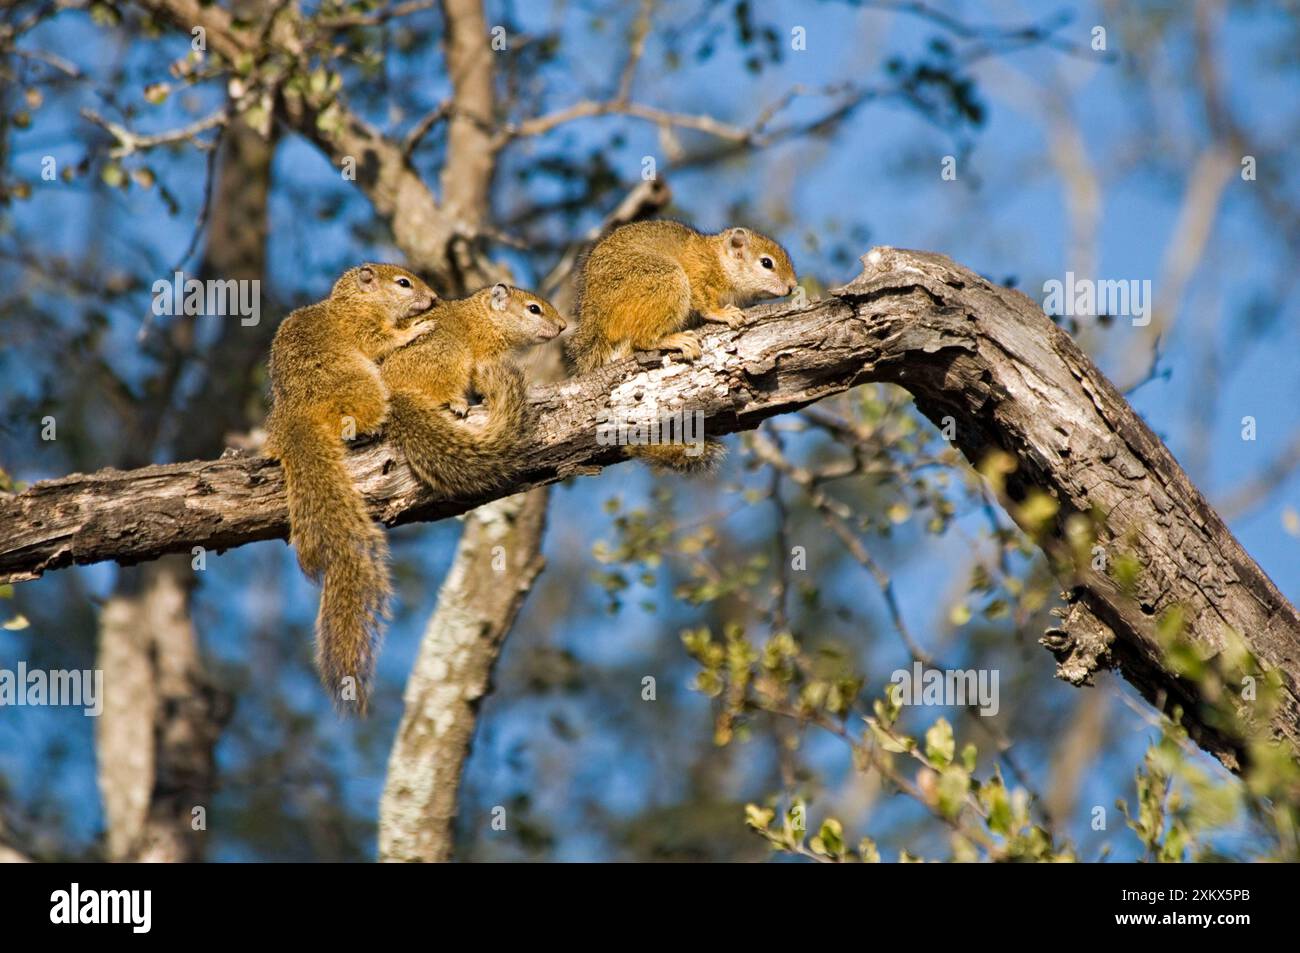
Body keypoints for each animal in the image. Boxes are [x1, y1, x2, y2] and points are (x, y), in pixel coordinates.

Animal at [265, 263, 437, 714]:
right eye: (403, 283)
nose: (432, 299)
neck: (353, 302)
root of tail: (294, 421)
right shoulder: (362, 329)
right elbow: (383, 341)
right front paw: (416, 329)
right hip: (363, 388)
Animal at [380, 282, 566, 498]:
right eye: (534, 309)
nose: (563, 326)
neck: (486, 318)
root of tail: (394, 393)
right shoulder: (484, 354)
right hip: (450, 353)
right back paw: (457, 402)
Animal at [566, 219, 797, 471]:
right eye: (766, 263)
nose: (792, 286)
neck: (720, 259)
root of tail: (596, 325)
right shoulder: (698, 271)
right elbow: (703, 301)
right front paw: (722, 314)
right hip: (663, 279)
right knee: (643, 338)